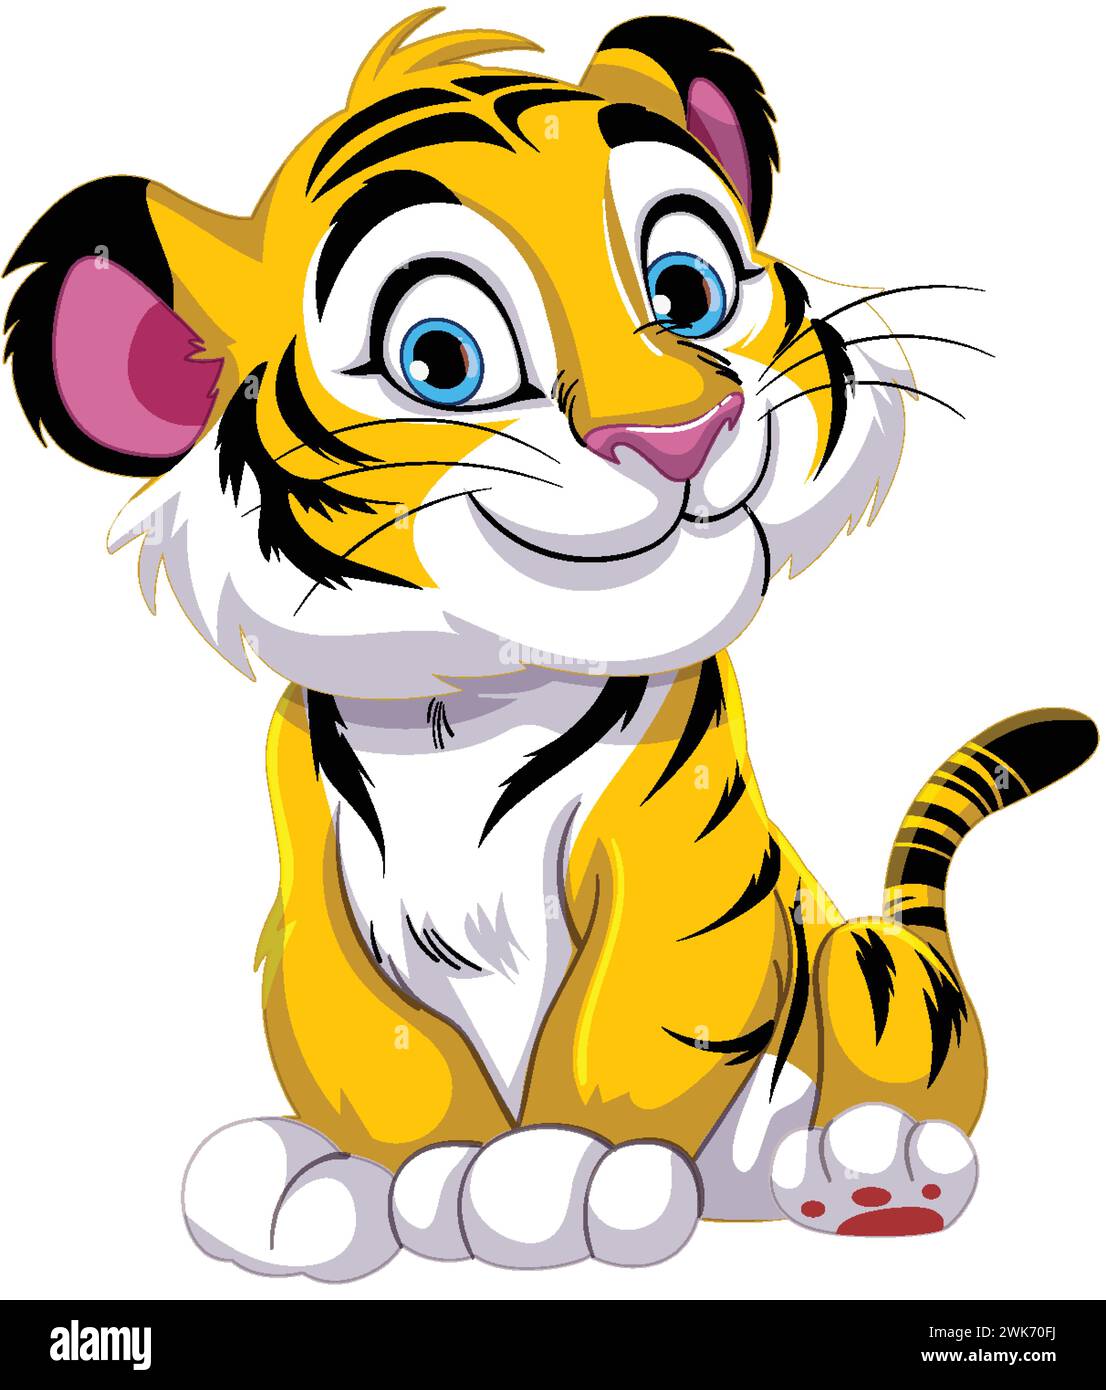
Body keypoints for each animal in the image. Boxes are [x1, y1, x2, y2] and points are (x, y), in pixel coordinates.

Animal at [4, 8, 1097, 1280]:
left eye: (685, 289)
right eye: (440, 358)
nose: (682, 431)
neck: (458, 716)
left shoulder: (680, 866)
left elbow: (627, 1023)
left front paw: (559, 1174)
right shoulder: (316, 902)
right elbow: (377, 1048)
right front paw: (386, 1180)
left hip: (861, 988)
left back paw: (868, 1171)